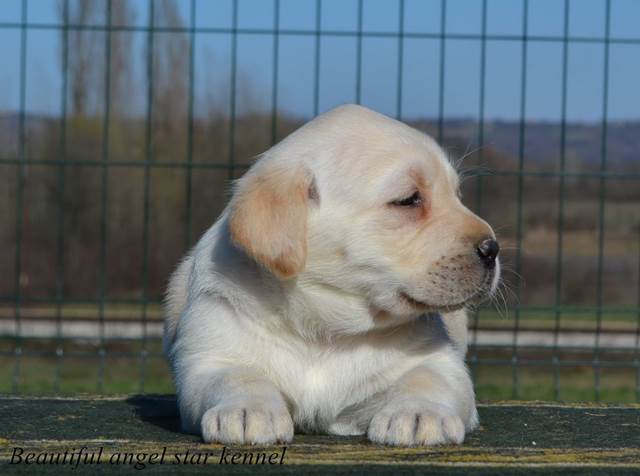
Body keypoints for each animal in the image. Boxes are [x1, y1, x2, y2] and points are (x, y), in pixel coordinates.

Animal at [164, 105, 500, 446]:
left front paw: (420, 414)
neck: (328, 327)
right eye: (408, 200)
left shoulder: (443, 364)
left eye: (457, 194)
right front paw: (248, 410)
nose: (492, 249)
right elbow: (237, 375)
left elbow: (427, 378)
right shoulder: (208, 359)